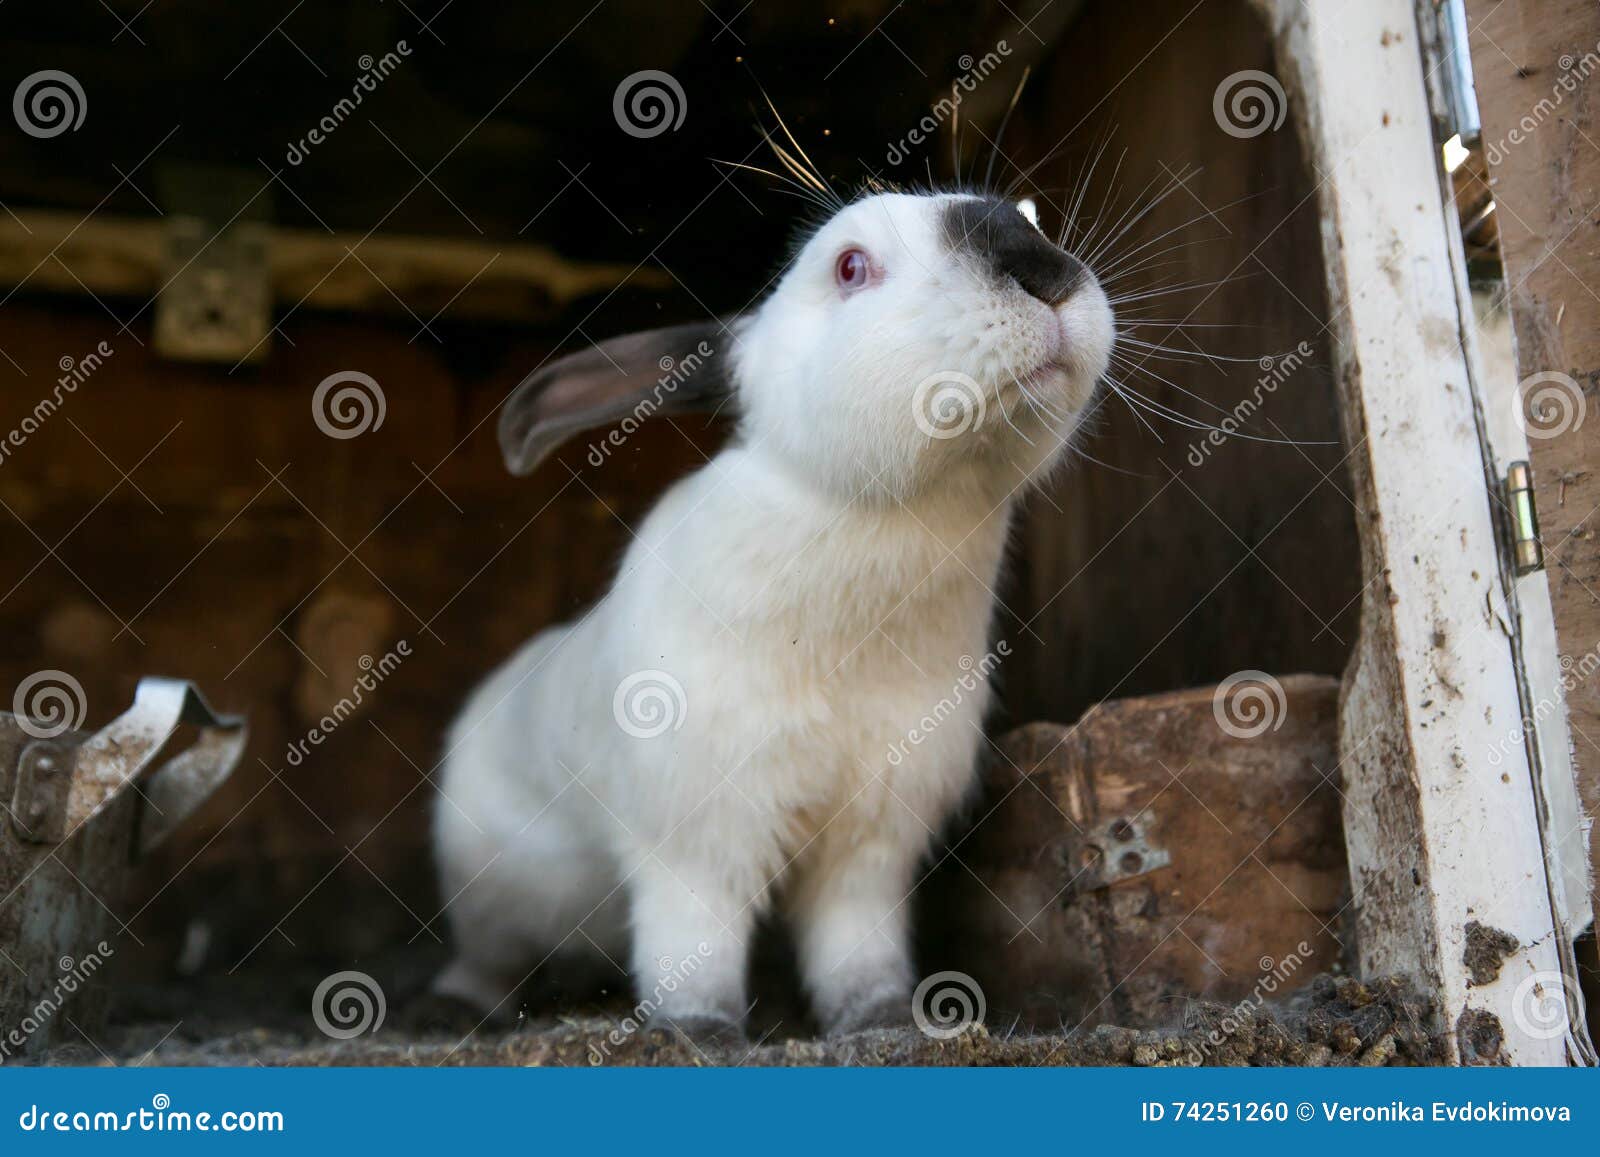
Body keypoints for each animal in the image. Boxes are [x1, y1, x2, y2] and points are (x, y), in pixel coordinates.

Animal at [432, 188, 1114, 1041]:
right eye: (850, 266)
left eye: (1034, 218)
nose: (1044, 272)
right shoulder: (697, 838)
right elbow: (693, 943)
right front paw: (700, 1031)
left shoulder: (873, 839)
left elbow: (857, 944)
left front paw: (882, 1020)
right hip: (486, 903)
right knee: (483, 960)